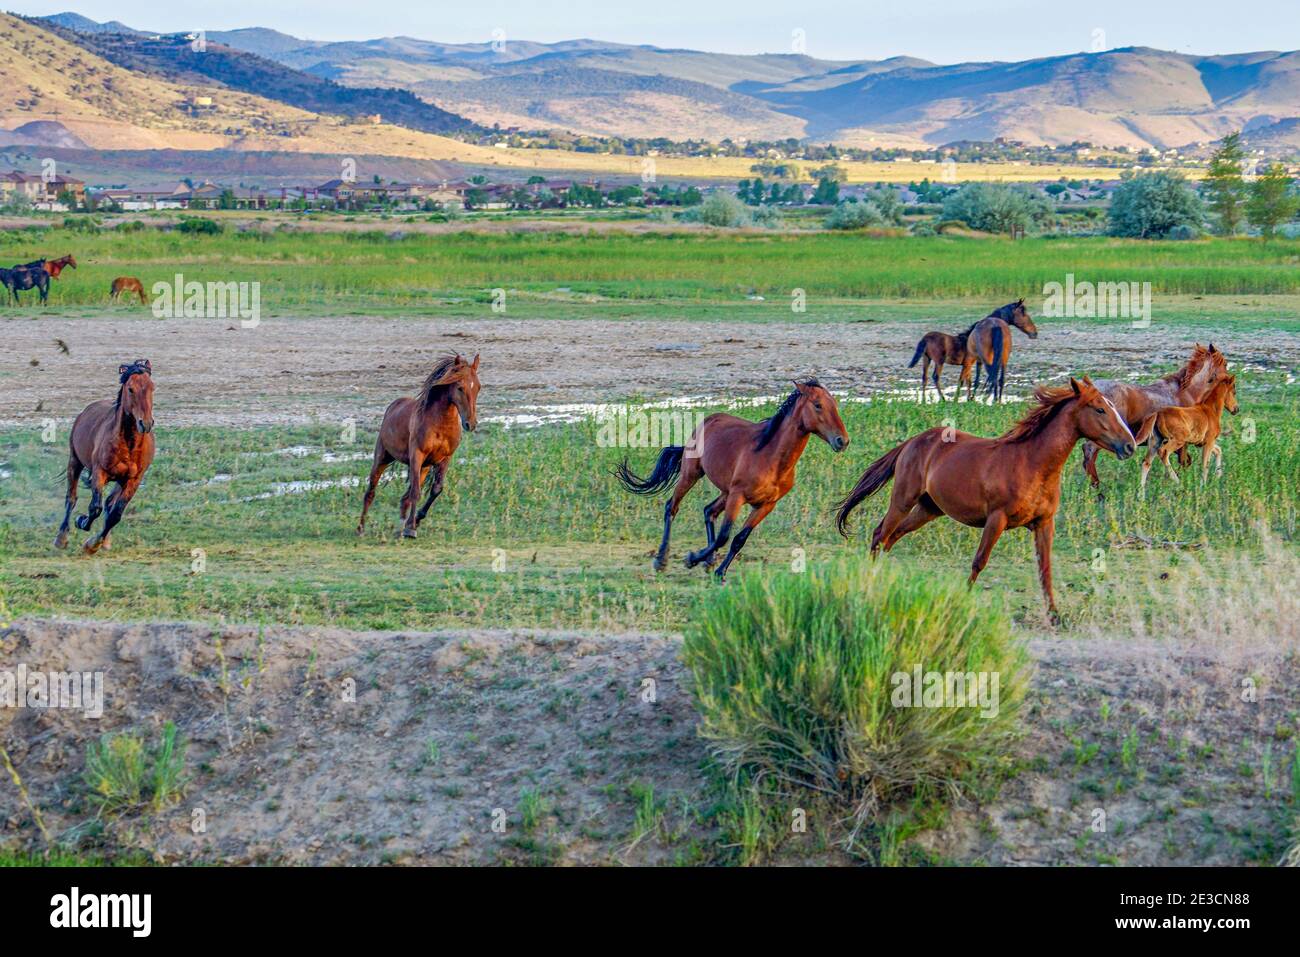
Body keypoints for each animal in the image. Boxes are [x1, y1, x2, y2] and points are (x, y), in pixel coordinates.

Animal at [54, 360, 155, 554]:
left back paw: (106, 541)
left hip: (120, 481)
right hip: (75, 462)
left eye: (152, 388)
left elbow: (115, 514)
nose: (145, 424)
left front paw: (94, 543)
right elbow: (95, 508)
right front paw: (82, 523)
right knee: (71, 498)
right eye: (130, 389)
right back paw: (61, 538)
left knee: (110, 503)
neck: (129, 445)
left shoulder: (133, 480)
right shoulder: (99, 472)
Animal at [357, 354, 481, 538]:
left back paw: (401, 525)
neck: (441, 424)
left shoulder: (445, 459)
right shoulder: (417, 455)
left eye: (478, 387)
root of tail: (394, 405)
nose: (470, 424)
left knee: (404, 498)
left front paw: (416, 520)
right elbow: (416, 492)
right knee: (370, 492)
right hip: (382, 458)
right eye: (459, 387)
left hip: (424, 468)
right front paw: (411, 529)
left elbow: (436, 489)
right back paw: (361, 528)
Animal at [615, 379, 849, 581]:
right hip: (692, 474)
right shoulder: (738, 497)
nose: (842, 441)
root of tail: (706, 421)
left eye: (834, 405)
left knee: (708, 511)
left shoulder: (766, 505)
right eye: (818, 405)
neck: (772, 458)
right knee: (671, 507)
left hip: (724, 491)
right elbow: (724, 536)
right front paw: (691, 559)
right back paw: (661, 561)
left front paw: (718, 570)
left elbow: (739, 539)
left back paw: (708, 561)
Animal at [835, 376, 1135, 622]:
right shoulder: (996, 519)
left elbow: (1045, 569)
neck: (1032, 464)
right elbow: (979, 561)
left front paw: (1055, 615)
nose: (1129, 445)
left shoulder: (1043, 523)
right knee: (880, 534)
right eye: (1099, 409)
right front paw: (964, 599)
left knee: (892, 537)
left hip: (928, 509)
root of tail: (912, 442)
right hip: (903, 500)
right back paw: (870, 581)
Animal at [1080, 343, 1227, 487]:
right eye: (1225, 364)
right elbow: (1184, 461)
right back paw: (1096, 486)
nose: (1228, 378)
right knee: (1089, 452)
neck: (1187, 392)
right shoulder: (1182, 440)